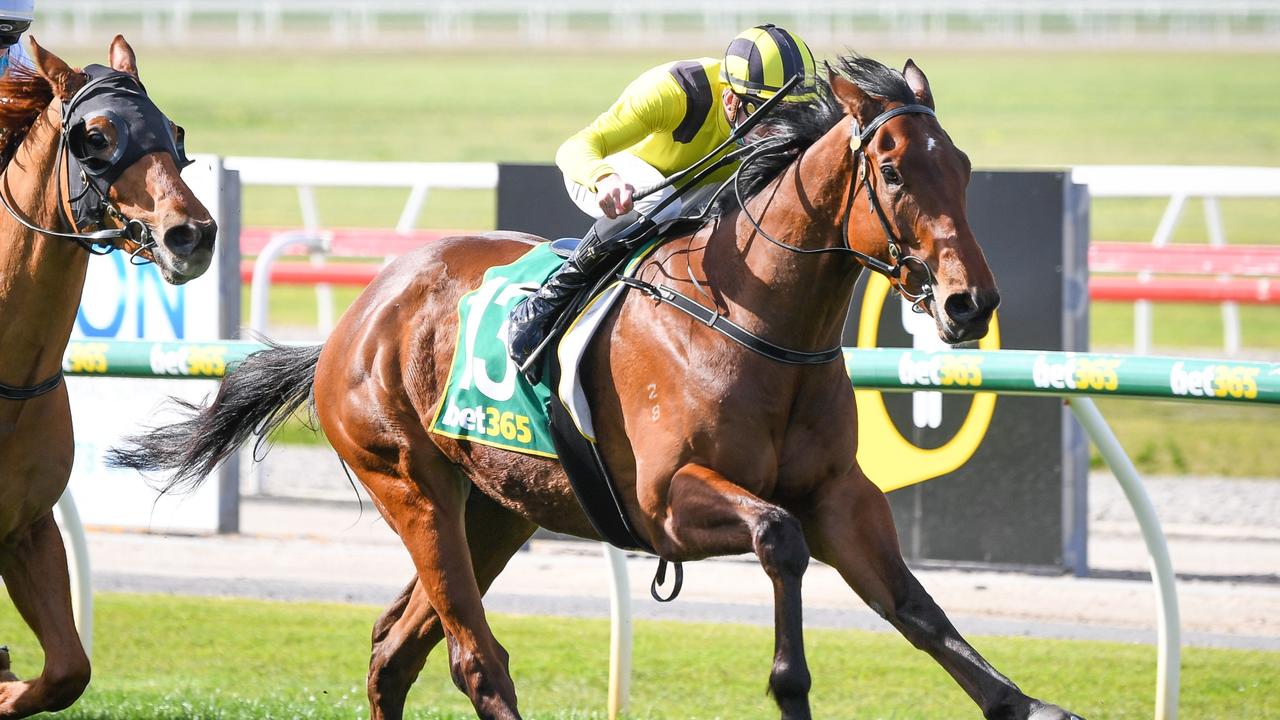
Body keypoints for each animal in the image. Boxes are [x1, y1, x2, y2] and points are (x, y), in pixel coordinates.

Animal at [0, 37, 216, 717]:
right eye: (95, 136)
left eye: (173, 132)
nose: (193, 234)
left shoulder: (27, 525)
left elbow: (69, 669)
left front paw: (5, 683)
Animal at [113, 55, 1081, 720]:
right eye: (892, 171)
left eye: (961, 166)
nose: (968, 302)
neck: (759, 323)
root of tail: (357, 317)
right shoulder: (667, 502)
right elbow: (780, 539)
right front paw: (789, 683)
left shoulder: (841, 494)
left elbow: (915, 605)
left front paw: (1023, 702)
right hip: (411, 485)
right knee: (474, 658)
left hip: (496, 508)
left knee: (397, 649)